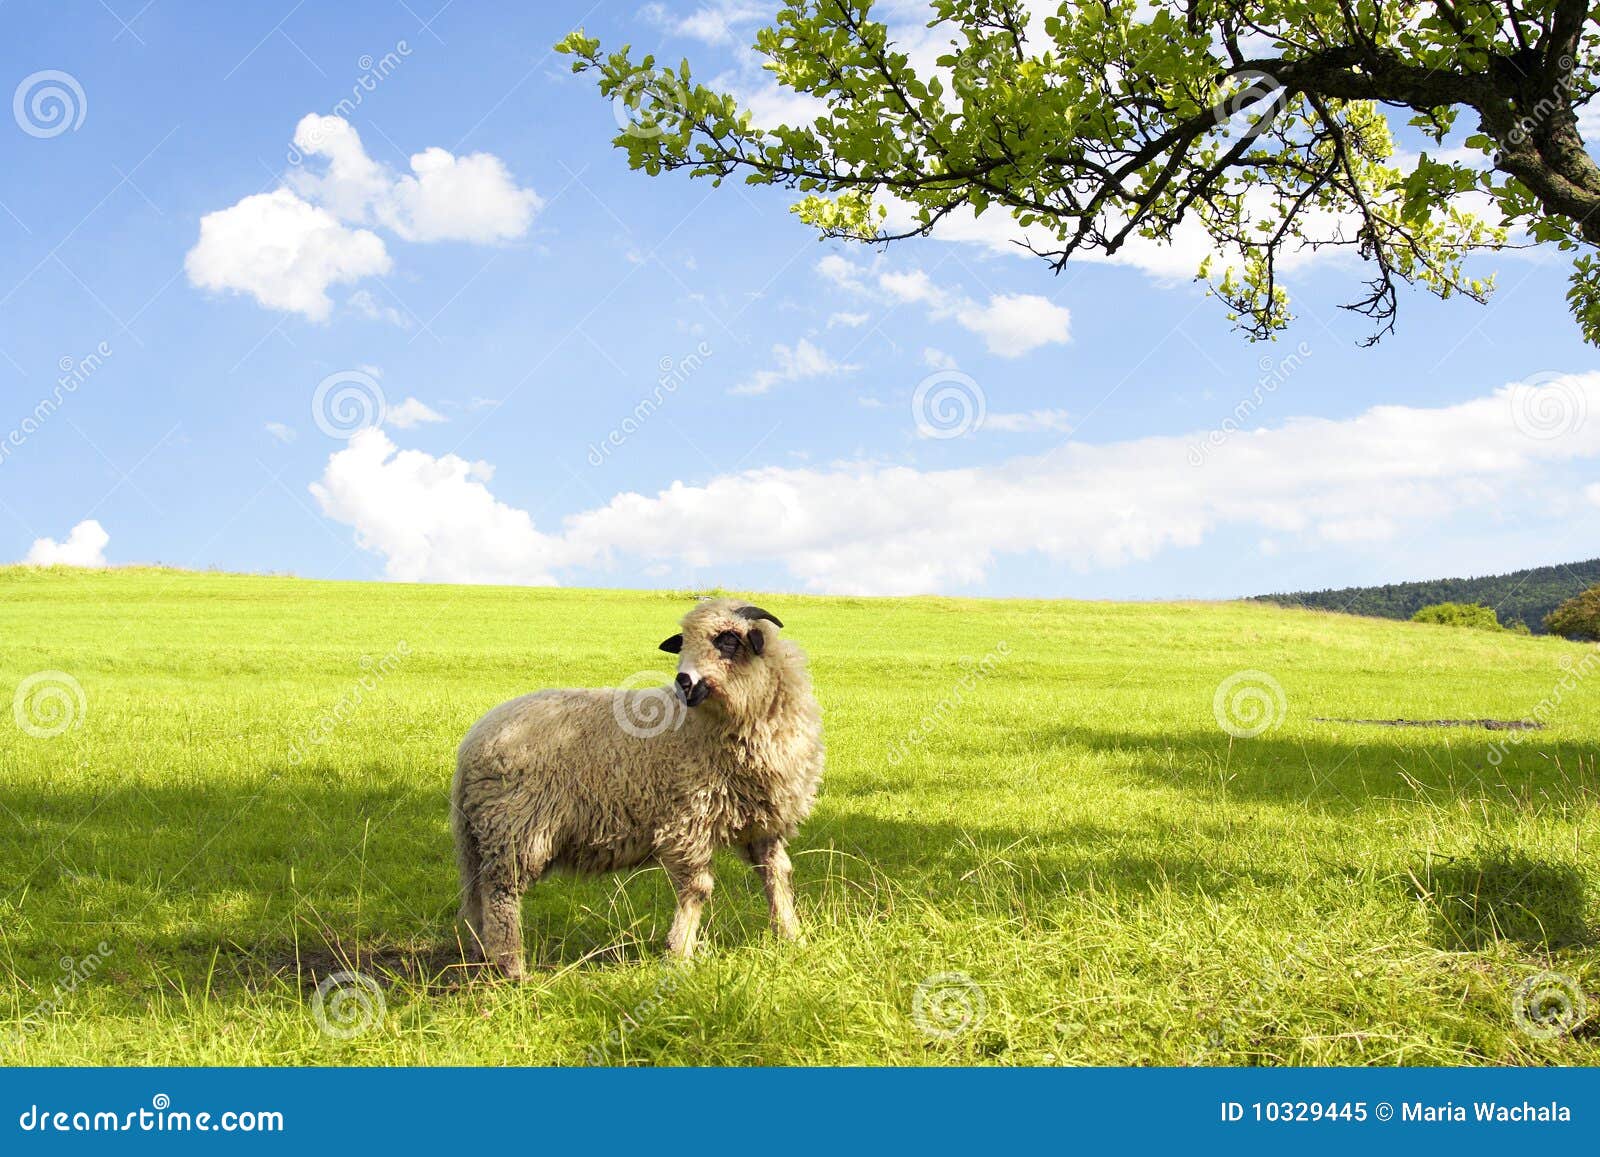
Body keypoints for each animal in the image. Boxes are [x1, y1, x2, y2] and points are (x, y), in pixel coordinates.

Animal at [452, 598, 824, 978]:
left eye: (728, 640)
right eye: (683, 642)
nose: (684, 682)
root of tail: (472, 745)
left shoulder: (765, 822)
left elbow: (776, 876)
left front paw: (790, 937)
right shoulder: (688, 821)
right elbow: (697, 889)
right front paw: (679, 954)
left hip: (479, 835)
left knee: (476, 893)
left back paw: (480, 952)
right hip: (518, 826)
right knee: (501, 893)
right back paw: (511, 966)